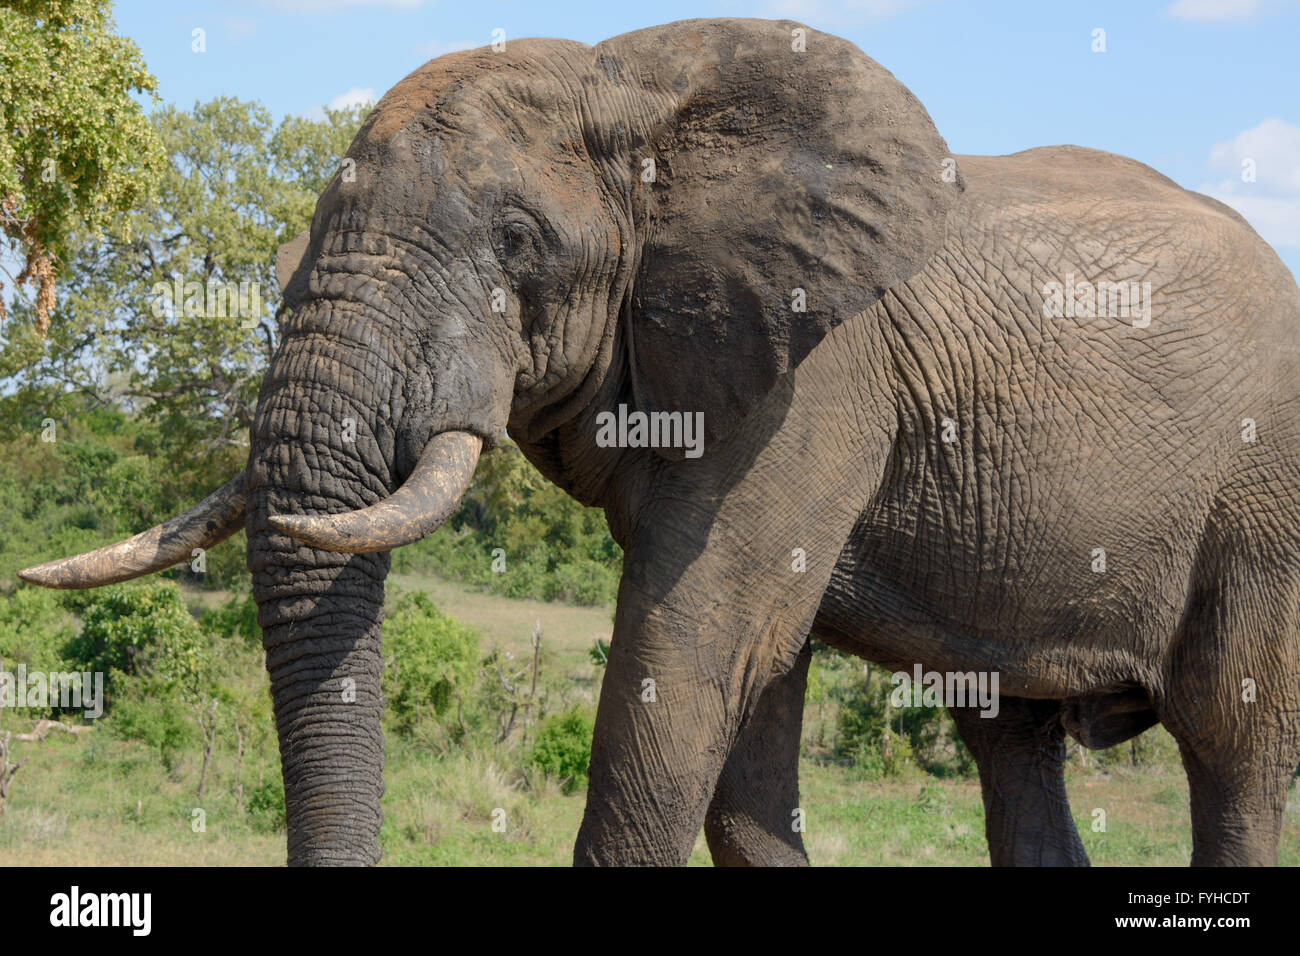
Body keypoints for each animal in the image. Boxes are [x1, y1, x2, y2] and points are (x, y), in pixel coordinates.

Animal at [19, 17, 1300, 867]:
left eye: (517, 240)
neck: (629, 81)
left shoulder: (818, 379)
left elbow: (685, 658)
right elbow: (743, 711)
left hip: (1263, 494)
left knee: (1231, 745)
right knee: (1012, 744)